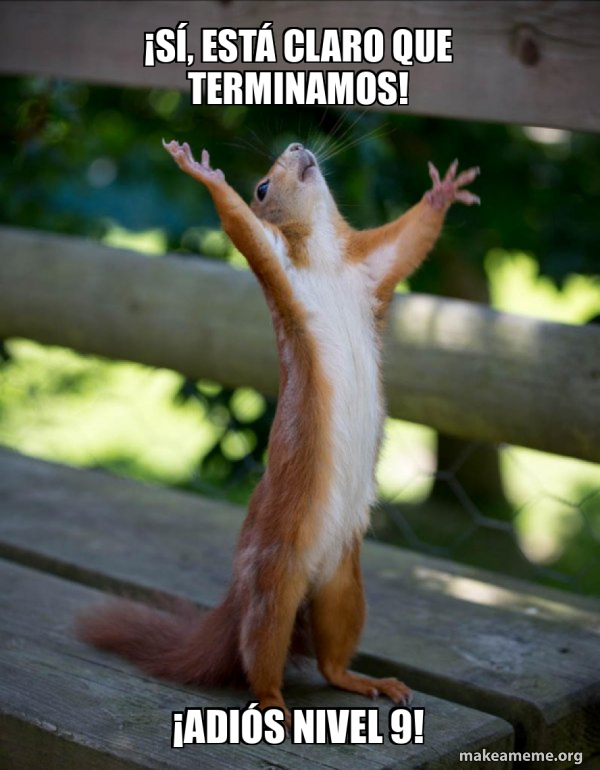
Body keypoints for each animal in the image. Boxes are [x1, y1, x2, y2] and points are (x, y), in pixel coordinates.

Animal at [78, 138, 479, 726]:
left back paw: (367, 680)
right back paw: (273, 703)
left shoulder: (371, 267)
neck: (327, 257)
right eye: (262, 187)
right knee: (259, 655)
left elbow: (410, 240)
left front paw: (443, 192)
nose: (296, 146)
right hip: (273, 584)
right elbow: (240, 225)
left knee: (331, 660)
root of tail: (239, 595)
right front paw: (204, 173)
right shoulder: (277, 264)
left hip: (343, 587)